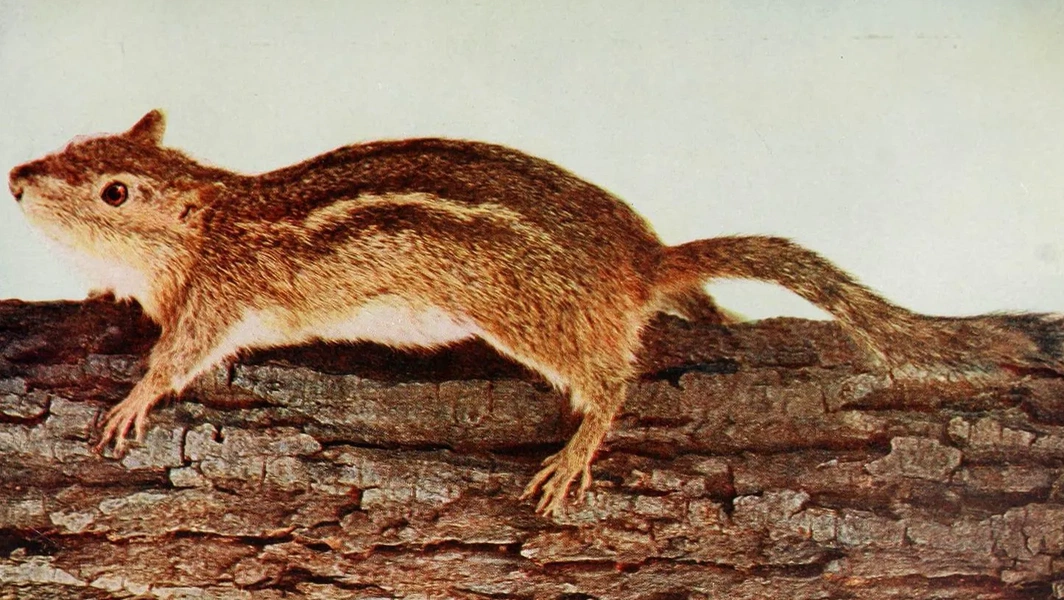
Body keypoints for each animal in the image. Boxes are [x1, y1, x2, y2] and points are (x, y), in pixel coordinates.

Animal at [8, 110, 1064, 516]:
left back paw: (576, 451)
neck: (210, 220)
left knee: (613, 378)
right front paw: (102, 292)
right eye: (73, 144)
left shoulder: (219, 296)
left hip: (534, 320)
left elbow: (178, 356)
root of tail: (640, 258)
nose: (17, 177)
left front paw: (131, 401)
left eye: (113, 190)